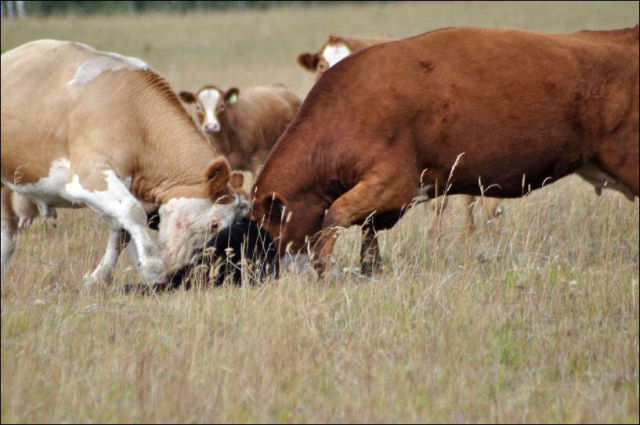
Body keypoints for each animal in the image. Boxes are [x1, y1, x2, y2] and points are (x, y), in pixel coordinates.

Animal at [1, 40, 250, 288]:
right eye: (214, 224)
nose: (185, 268)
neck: (136, 118)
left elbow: (120, 231)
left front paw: (99, 278)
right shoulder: (89, 178)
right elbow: (133, 212)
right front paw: (152, 266)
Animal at [252, 26, 639, 277]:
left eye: (267, 226)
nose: (263, 268)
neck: (348, 108)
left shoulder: (393, 184)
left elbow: (335, 217)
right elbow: (367, 237)